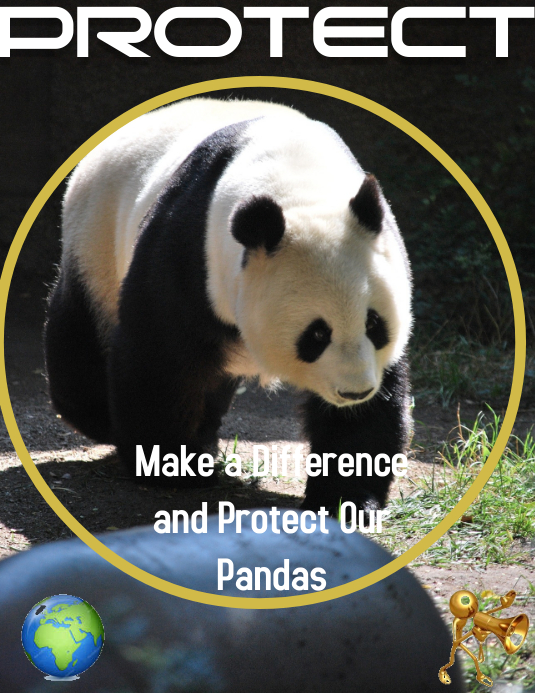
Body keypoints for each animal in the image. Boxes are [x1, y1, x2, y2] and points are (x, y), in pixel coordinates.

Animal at [44, 98, 412, 515]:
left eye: (374, 325)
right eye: (317, 334)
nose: (354, 393)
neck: (298, 183)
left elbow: (375, 406)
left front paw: (346, 498)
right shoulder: (190, 248)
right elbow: (159, 355)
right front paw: (171, 468)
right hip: (97, 240)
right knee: (82, 340)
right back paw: (105, 417)